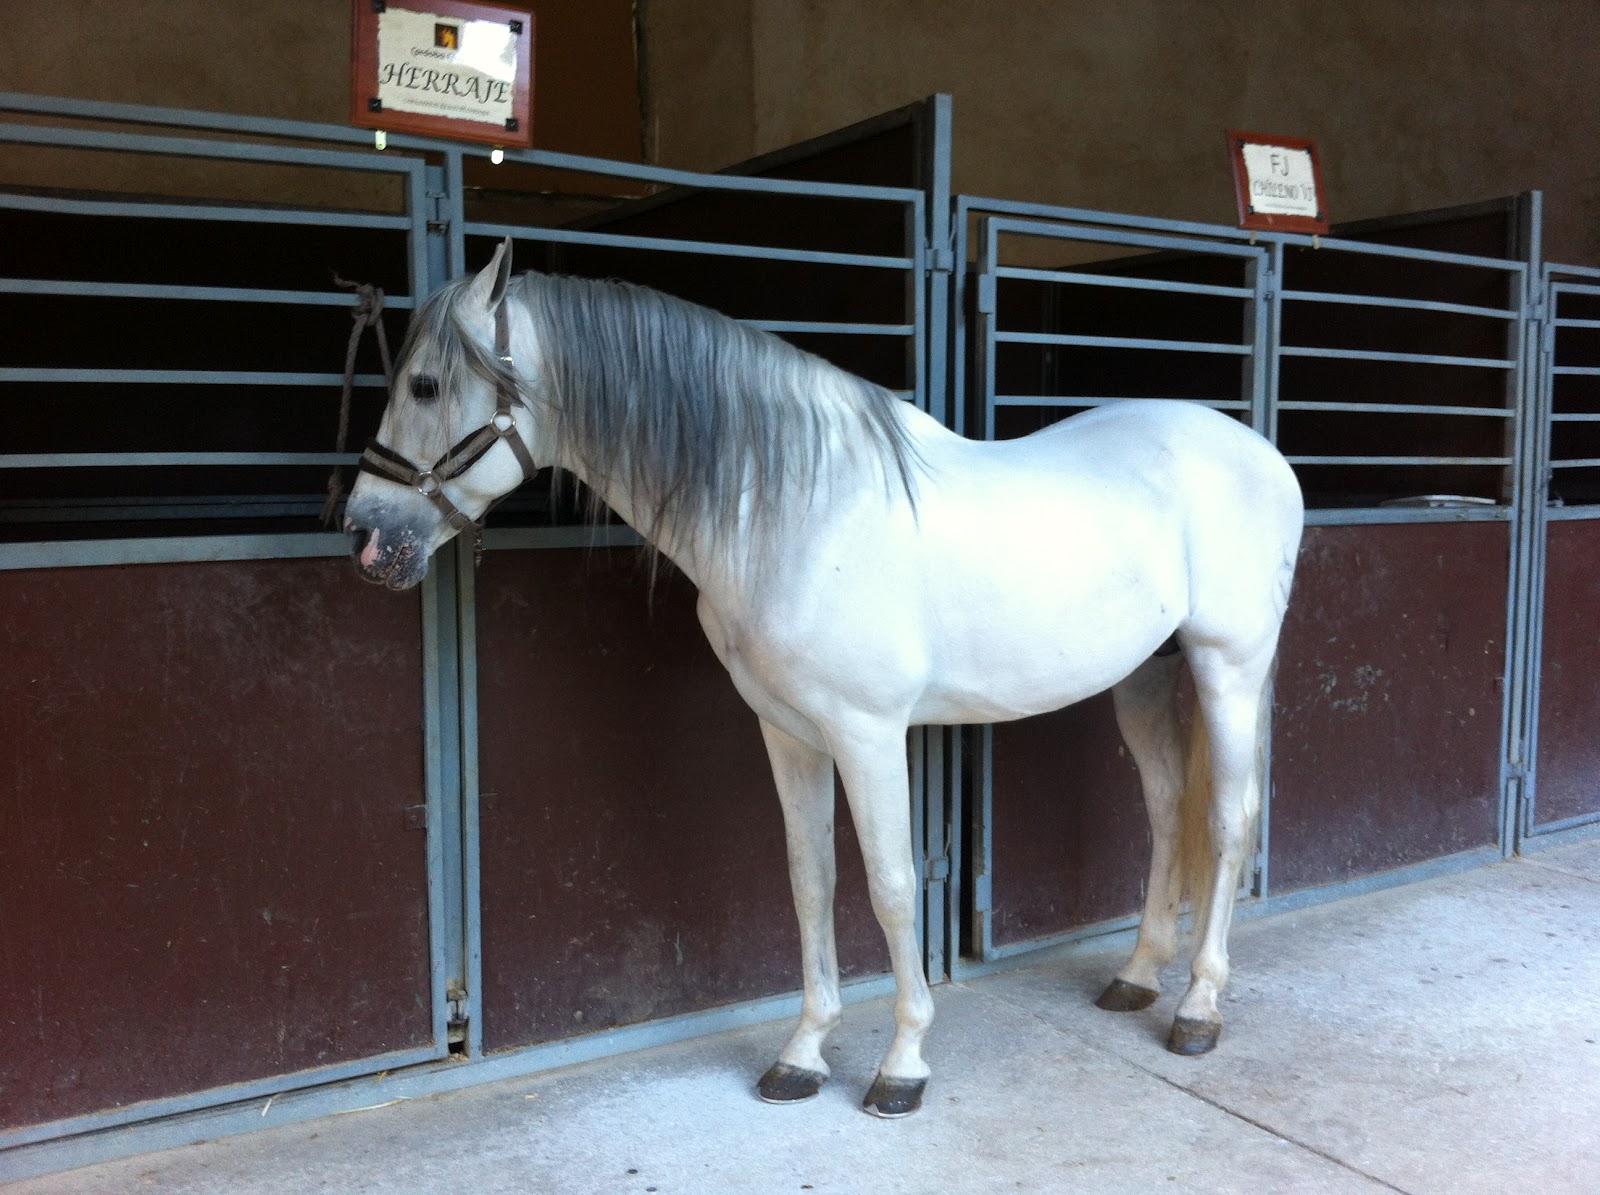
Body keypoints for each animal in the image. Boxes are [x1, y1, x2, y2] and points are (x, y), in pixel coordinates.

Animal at [344, 239, 1305, 1118]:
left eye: (424, 385)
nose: (366, 535)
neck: (800, 508)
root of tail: (1262, 452)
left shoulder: (869, 734)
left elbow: (890, 885)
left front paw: (903, 1062)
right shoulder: (787, 730)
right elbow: (812, 881)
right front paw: (802, 1054)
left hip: (1229, 666)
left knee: (1227, 819)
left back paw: (1198, 1007)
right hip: (1147, 675)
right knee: (1166, 808)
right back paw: (1138, 975)